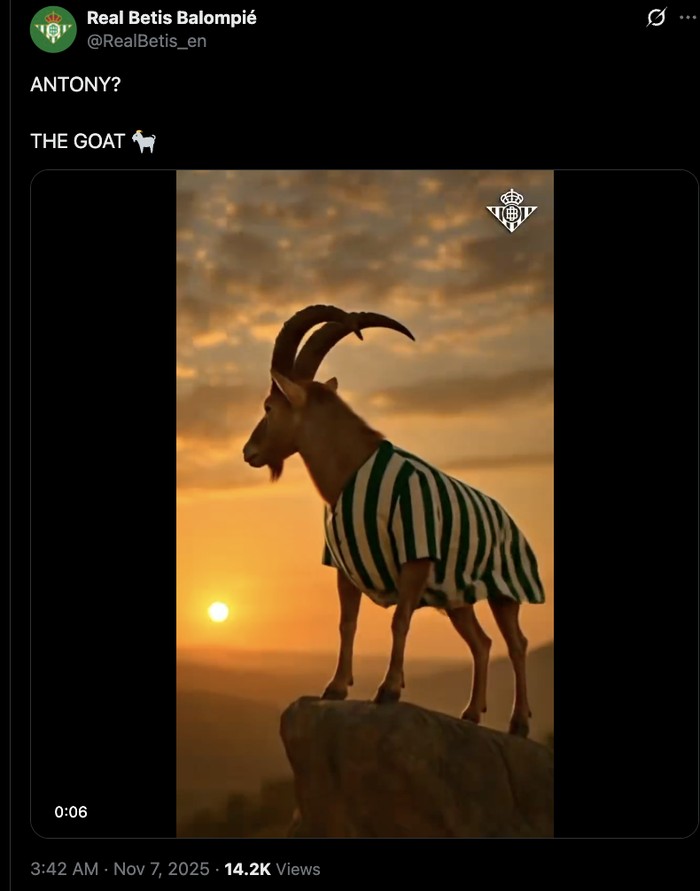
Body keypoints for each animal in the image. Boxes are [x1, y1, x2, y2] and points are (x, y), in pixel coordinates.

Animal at [242, 305, 546, 737]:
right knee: (482, 643)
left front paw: (388, 690)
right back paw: (471, 714)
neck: (353, 471)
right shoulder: (343, 566)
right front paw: (336, 687)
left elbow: (400, 621)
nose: (248, 451)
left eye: (269, 406)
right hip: (458, 598)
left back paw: (518, 723)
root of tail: (511, 520)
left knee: (517, 643)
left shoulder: (415, 556)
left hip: (506, 590)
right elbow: (347, 623)